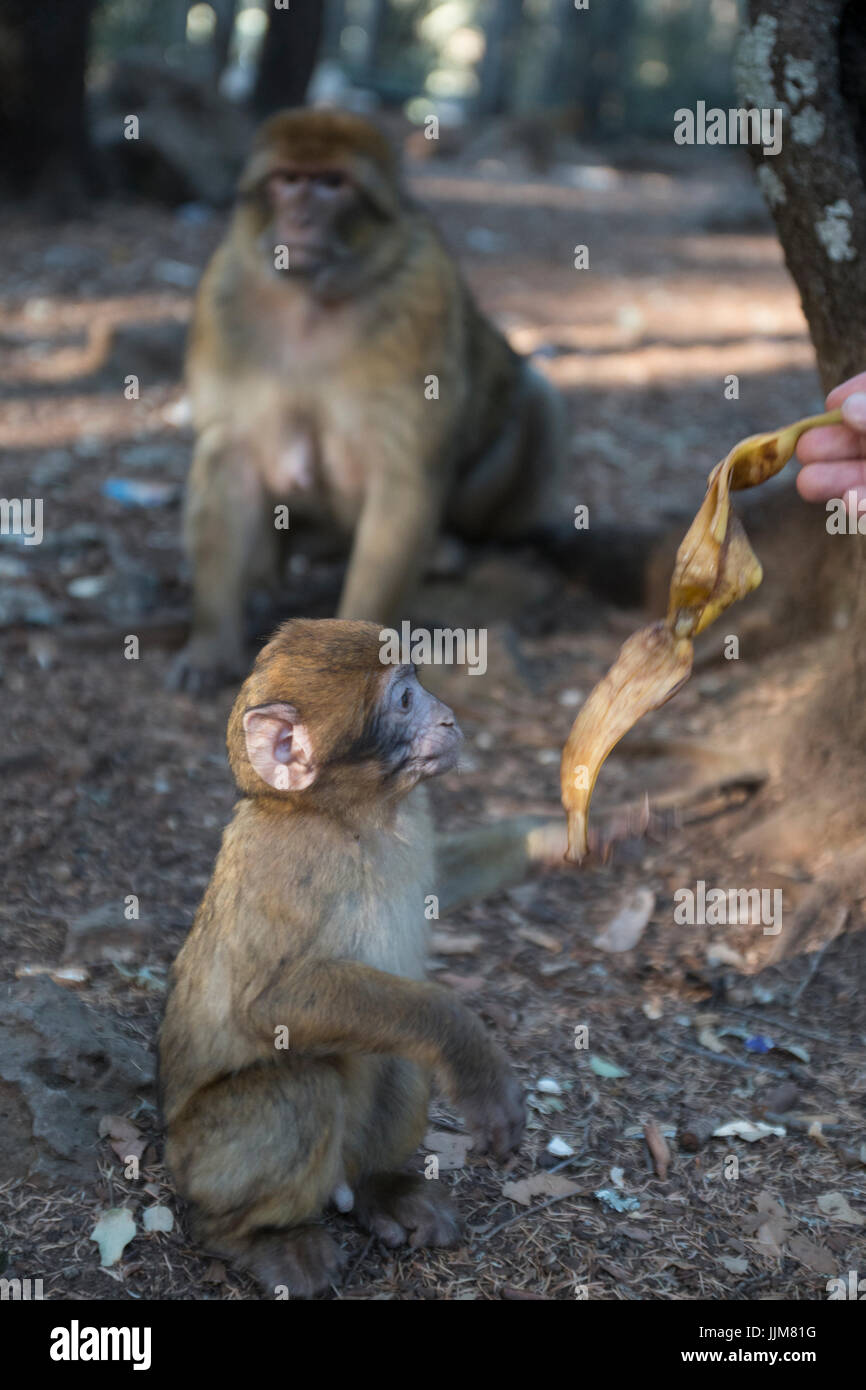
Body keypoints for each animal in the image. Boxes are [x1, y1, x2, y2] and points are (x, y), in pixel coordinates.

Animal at [159, 619, 537, 1297]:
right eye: (405, 701)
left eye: (417, 685)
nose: (447, 716)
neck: (350, 817)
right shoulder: (288, 863)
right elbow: (271, 1005)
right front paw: (468, 1046)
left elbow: (449, 881)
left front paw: (571, 836)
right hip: (200, 1163)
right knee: (304, 1085)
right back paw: (248, 1237)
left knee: (393, 1054)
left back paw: (380, 1189)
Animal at [168, 107, 567, 693]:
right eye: (288, 179)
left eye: (332, 184)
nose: (301, 217)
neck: (311, 302)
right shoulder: (224, 295)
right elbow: (230, 459)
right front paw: (210, 644)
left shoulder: (422, 293)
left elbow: (404, 475)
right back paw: (264, 572)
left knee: (538, 399)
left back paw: (448, 548)